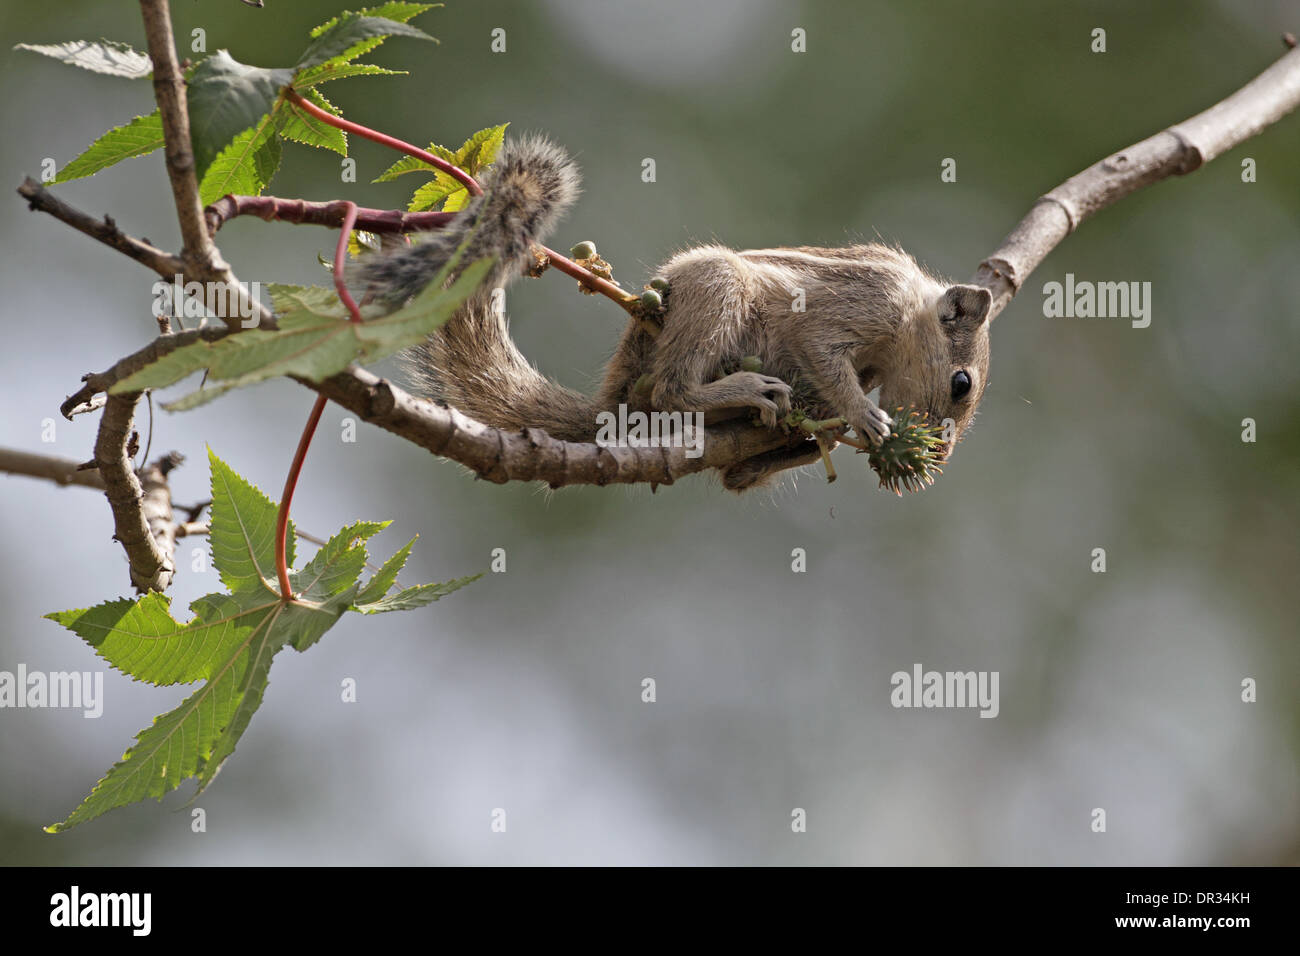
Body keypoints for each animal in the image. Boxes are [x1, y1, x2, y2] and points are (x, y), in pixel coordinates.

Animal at [356, 136, 993, 491]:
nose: (942, 453)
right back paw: (746, 390)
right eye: (961, 384)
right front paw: (864, 416)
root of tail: (610, 401)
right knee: (670, 390)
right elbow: (821, 349)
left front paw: (844, 425)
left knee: (735, 474)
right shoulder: (857, 305)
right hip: (717, 288)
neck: (909, 314)